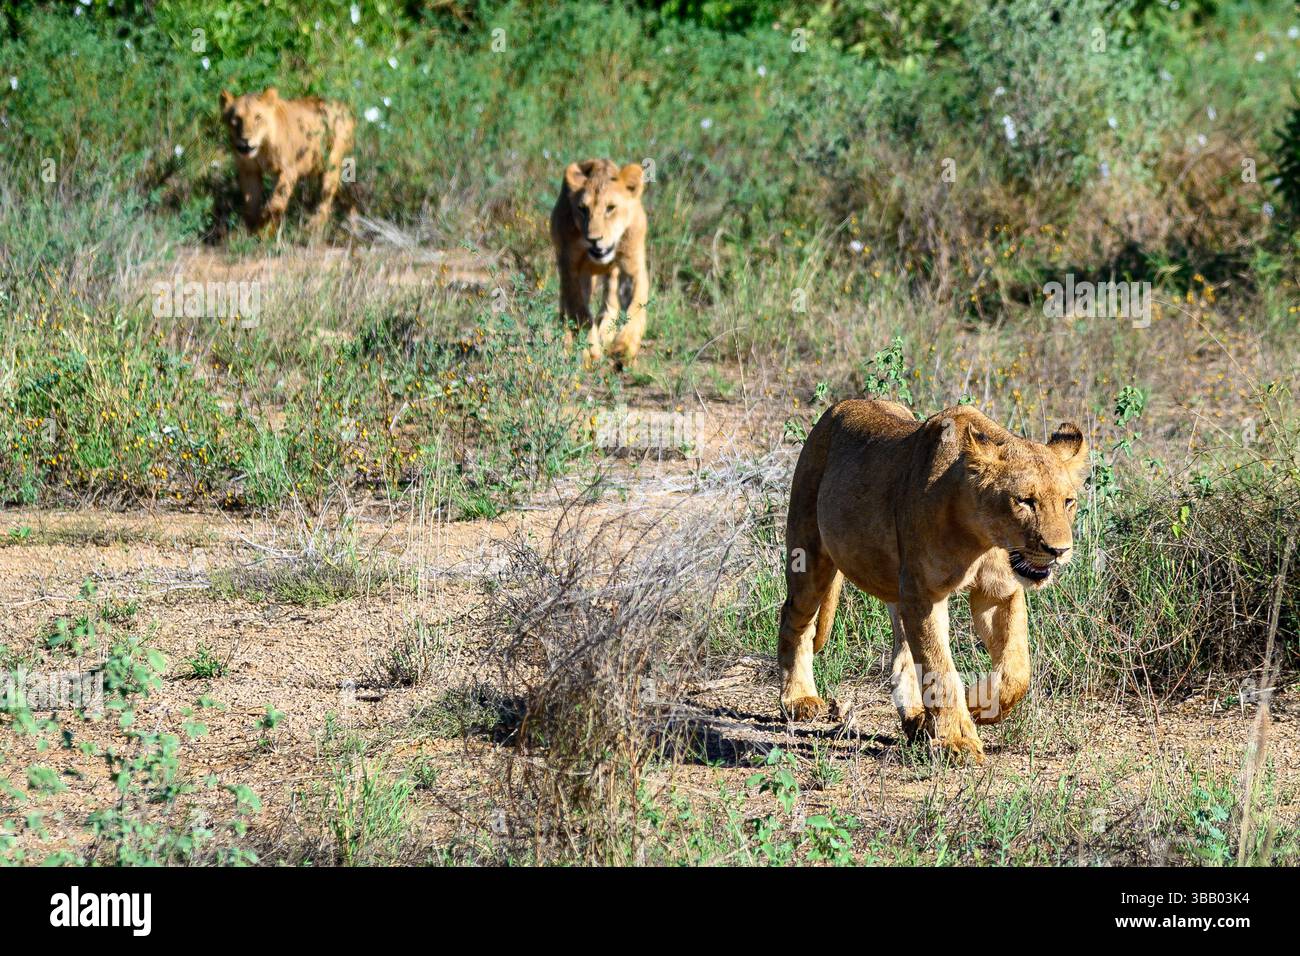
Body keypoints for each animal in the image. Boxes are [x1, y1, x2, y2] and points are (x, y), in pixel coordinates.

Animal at [219, 87, 354, 236]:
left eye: (258, 117)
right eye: (236, 119)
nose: (245, 140)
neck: (262, 149)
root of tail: (344, 106)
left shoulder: (288, 170)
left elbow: (276, 201)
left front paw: (265, 225)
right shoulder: (249, 171)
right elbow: (251, 201)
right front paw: (251, 228)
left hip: (332, 162)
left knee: (326, 196)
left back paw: (313, 226)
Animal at [549, 158, 650, 365]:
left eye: (610, 208)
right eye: (582, 209)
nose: (594, 239)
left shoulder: (633, 266)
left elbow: (637, 305)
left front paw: (624, 347)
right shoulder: (569, 268)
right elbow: (580, 312)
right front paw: (592, 350)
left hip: (612, 275)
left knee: (610, 303)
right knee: (566, 312)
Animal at [777, 400, 1089, 761]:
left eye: (1068, 502)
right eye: (1024, 501)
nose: (1059, 550)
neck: (981, 537)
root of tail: (839, 406)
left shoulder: (998, 592)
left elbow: (1016, 669)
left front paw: (977, 705)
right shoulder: (924, 593)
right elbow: (939, 665)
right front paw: (957, 739)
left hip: (895, 584)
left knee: (902, 653)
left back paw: (918, 719)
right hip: (810, 553)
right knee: (795, 618)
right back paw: (797, 698)